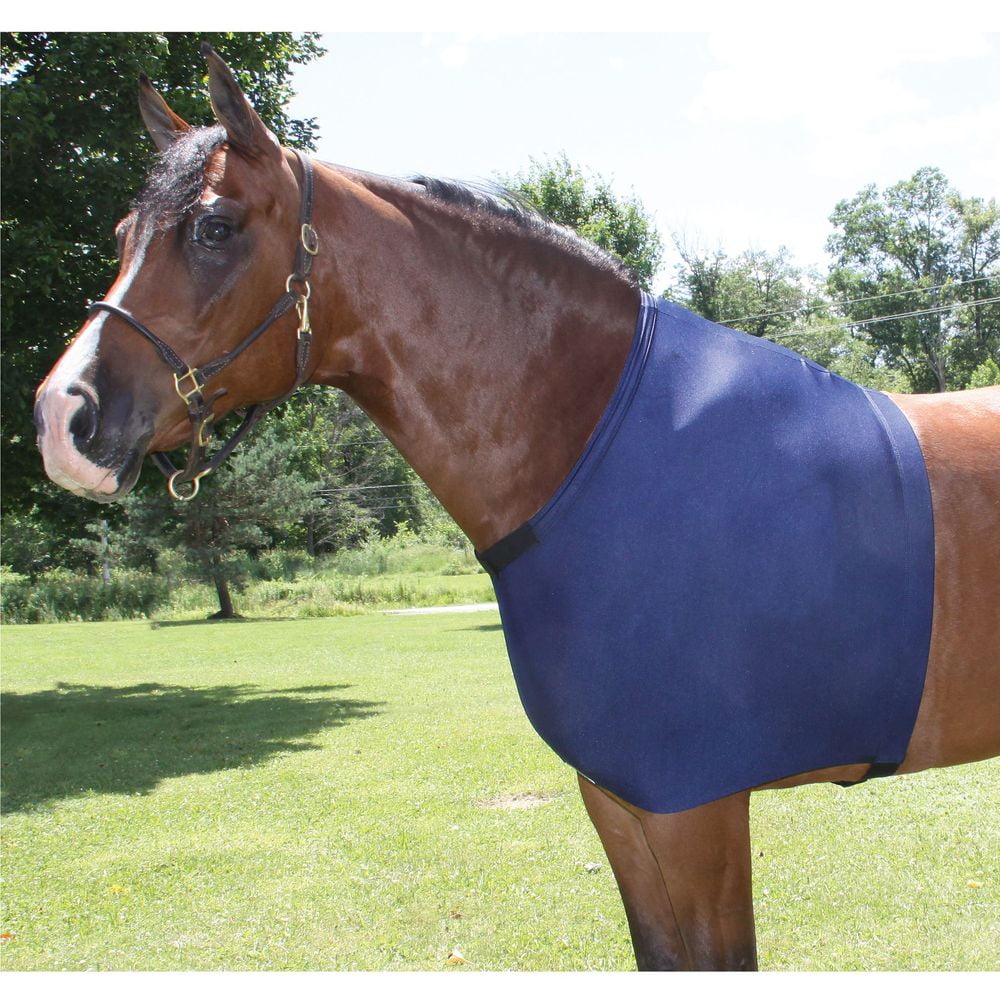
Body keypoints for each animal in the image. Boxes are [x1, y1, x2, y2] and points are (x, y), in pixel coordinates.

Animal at [34, 46, 1000, 971]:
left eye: (214, 227)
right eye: (122, 235)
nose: (61, 417)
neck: (595, 445)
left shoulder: (695, 809)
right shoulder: (621, 802)